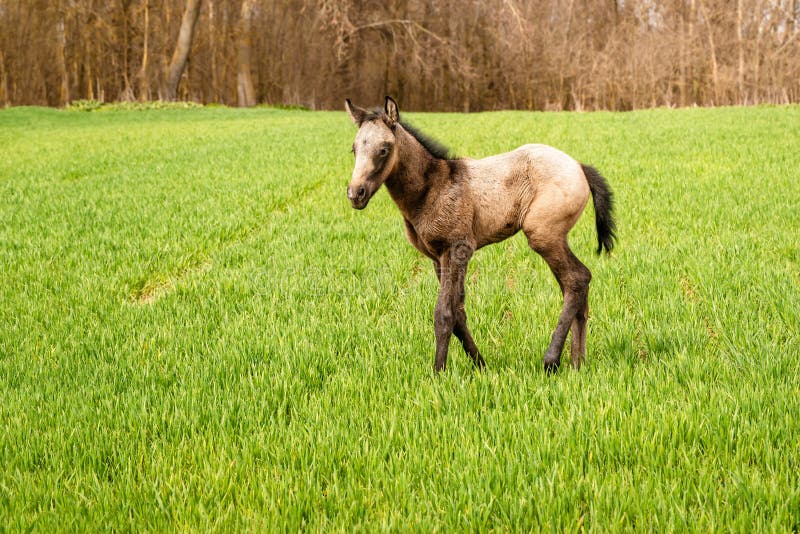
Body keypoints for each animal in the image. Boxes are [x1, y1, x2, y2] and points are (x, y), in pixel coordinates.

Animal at [344, 96, 616, 372]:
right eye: (354, 149)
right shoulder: (437, 258)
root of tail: (580, 167)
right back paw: (577, 363)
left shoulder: (457, 249)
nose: (356, 194)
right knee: (577, 285)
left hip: (543, 235)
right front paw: (480, 365)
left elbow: (444, 313)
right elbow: (458, 312)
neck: (432, 188)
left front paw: (438, 372)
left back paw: (551, 361)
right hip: (555, 239)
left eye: (384, 149)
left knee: (577, 279)